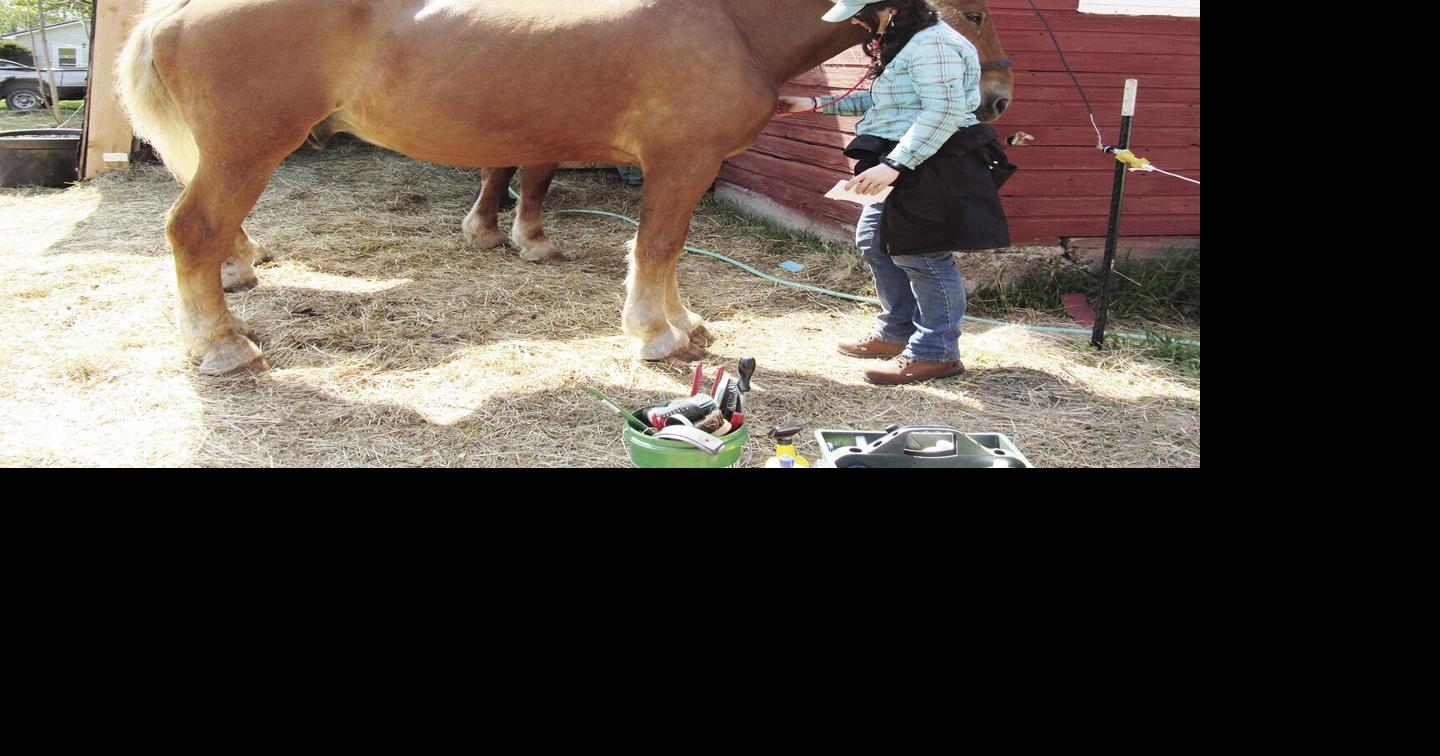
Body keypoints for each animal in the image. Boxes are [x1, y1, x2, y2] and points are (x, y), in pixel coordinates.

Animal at [460, 0, 1013, 265]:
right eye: (975, 15)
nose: (999, 100)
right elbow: (526, 176)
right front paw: (520, 239)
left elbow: (517, 173)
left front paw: (499, 233)